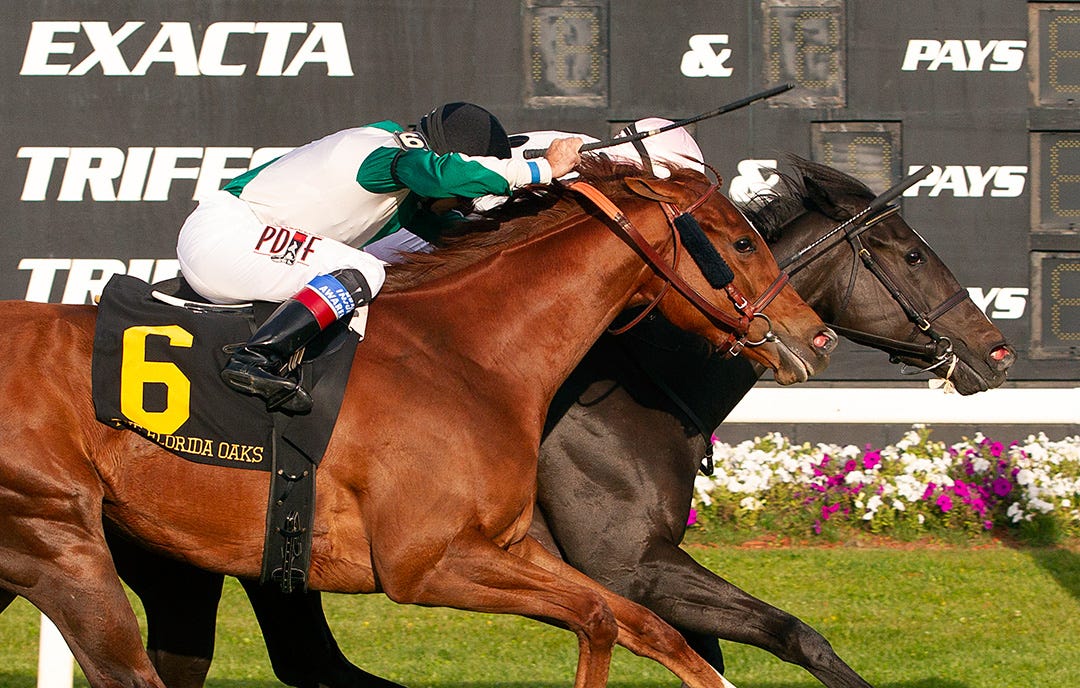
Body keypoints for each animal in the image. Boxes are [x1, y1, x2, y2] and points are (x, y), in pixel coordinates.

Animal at [100, 155, 1014, 688]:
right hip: (196, 566)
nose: (997, 349)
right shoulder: (629, 564)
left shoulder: (622, 575)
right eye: (910, 254)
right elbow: (795, 633)